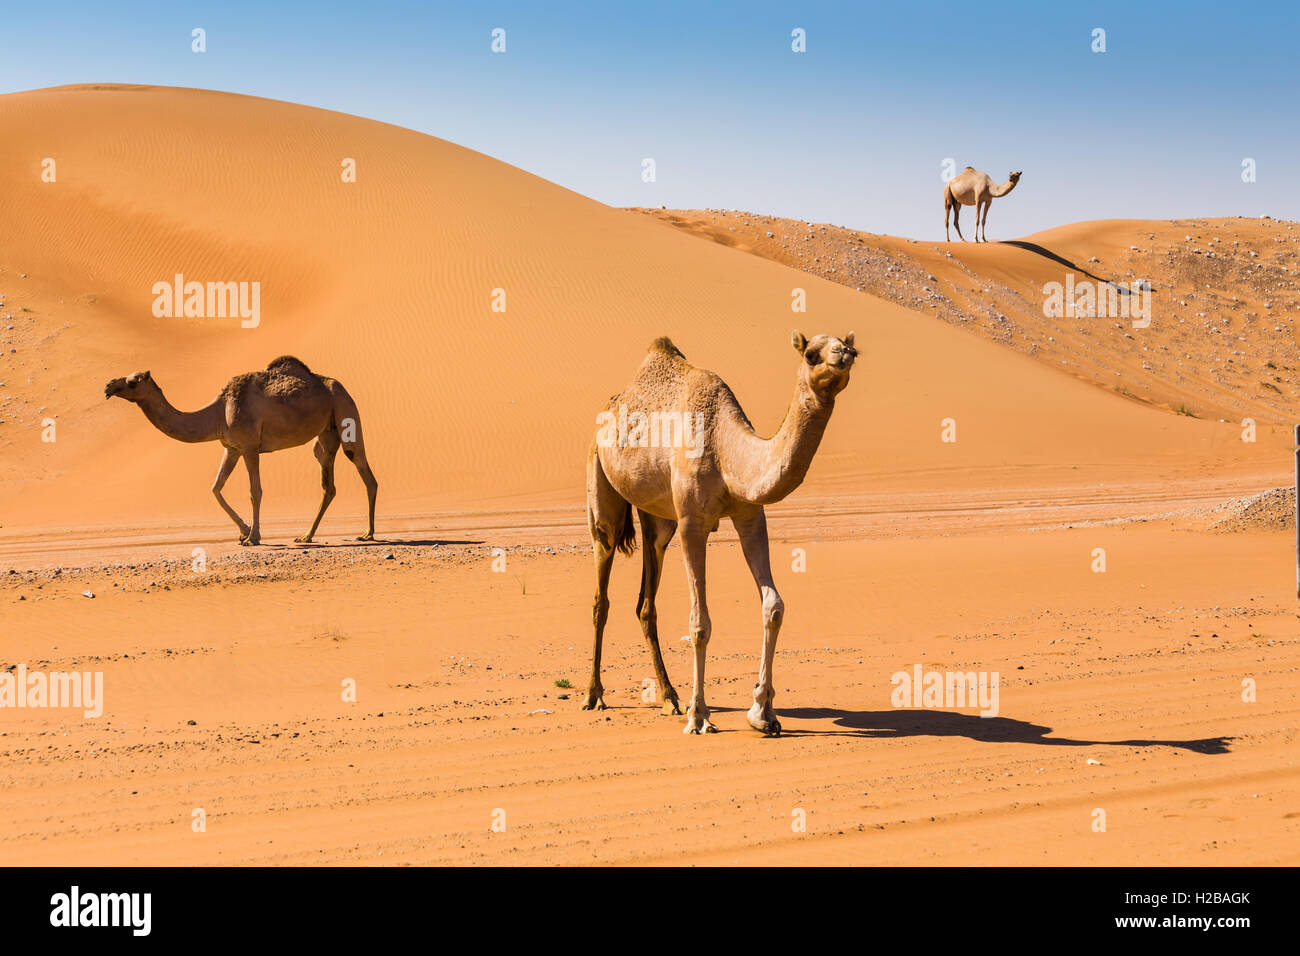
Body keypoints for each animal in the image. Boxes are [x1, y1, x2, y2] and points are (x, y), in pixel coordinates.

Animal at [104, 355, 378, 545]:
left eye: (132, 382)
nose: (108, 386)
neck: (218, 412)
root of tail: (343, 387)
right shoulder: (231, 448)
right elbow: (215, 487)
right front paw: (243, 531)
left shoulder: (249, 446)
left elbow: (255, 491)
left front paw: (253, 537)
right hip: (326, 433)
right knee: (328, 482)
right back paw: (306, 536)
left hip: (345, 409)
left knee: (364, 470)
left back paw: (368, 534)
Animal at [585, 331, 855, 735]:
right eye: (811, 354)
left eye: (851, 347)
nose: (844, 356)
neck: (726, 449)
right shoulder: (692, 521)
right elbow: (700, 623)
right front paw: (699, 716)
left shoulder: (750, 516)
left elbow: (774, 606)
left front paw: (763, 712)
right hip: (602, 487)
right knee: (602, 591)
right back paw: (595, 695)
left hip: (657, 521)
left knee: (646, 601)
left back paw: (669, 698)